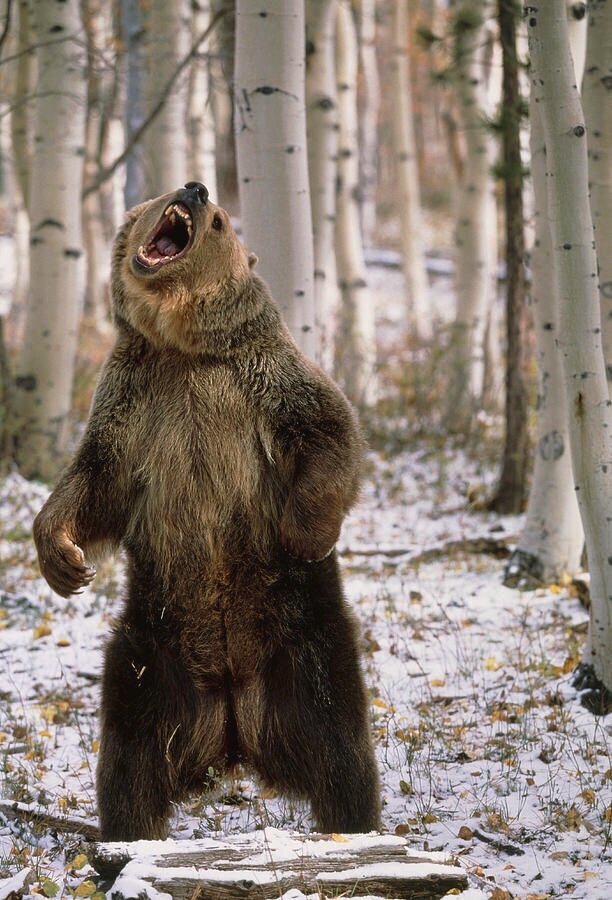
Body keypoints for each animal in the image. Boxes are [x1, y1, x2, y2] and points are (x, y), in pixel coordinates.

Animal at [34, 179, 382, 840]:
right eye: (158, 195)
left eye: (220, 220)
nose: (194, 188)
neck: (183, 346)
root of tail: (233, 717)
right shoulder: (134, 399)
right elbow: (94, 480)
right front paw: (63, 560)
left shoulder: (262, 379)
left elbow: (331, 428)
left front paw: (304, 533)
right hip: (151, 658)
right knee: (130, 762)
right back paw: (125, 835)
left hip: (304, 647)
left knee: (341, 751)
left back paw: (358, 825)